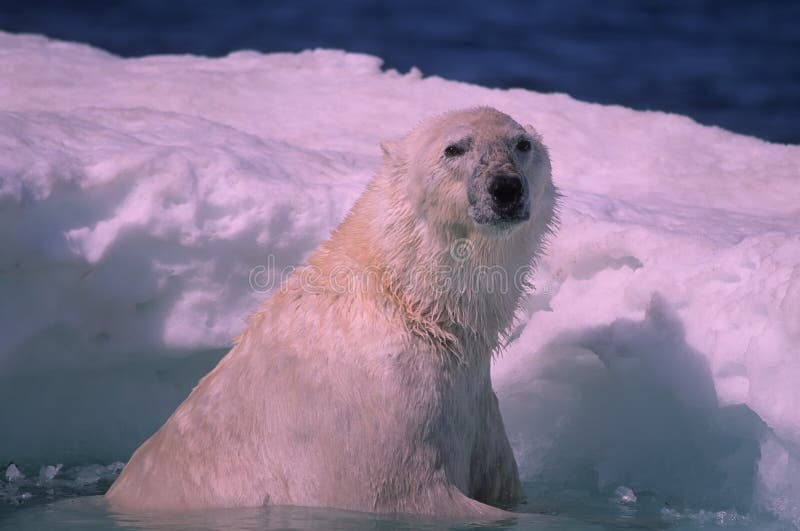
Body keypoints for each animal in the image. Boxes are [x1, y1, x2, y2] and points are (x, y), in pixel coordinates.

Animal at [106, 107, 559, 517]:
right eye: (454, 148)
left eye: (522, 144)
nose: (505, 188)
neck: (412, 304)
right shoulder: (372, 413)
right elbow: (409, 495)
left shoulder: (476, 409)